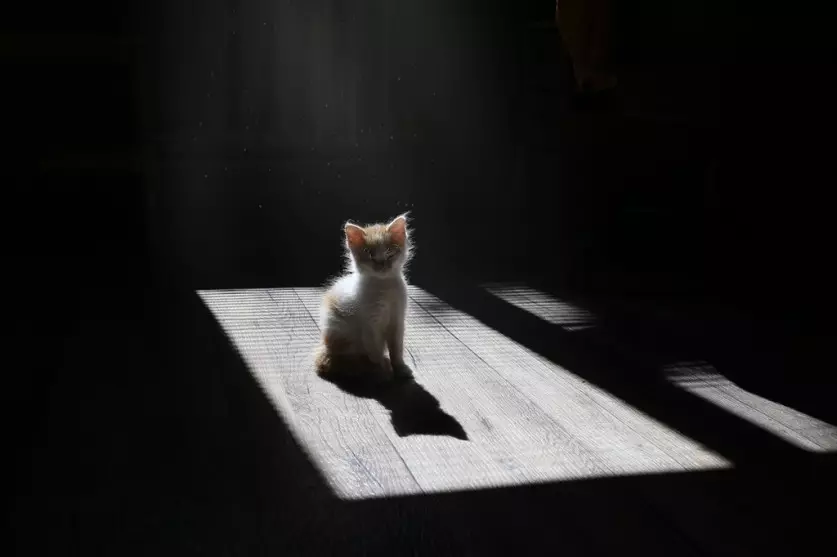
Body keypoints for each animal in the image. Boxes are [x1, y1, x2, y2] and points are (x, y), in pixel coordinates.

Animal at [316, 213, 414, 378]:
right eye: (369, 254)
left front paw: (400, 368)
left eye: (389, 252)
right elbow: (375, 351)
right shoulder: (370, 323)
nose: (381, 264)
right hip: (340, 329)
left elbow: (396, 348)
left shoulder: (398, 320)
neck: (384, 287)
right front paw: (383, 370)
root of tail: (325, 347)